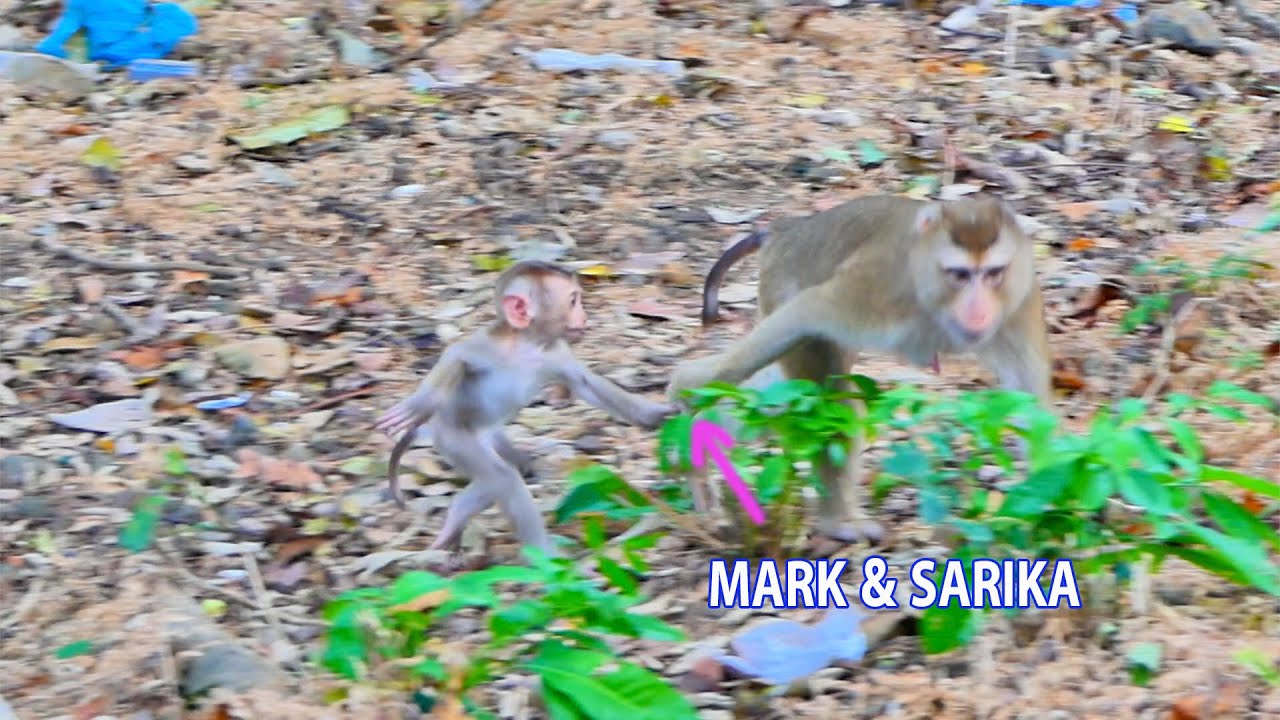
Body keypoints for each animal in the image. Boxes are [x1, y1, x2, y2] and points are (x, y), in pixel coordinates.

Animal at [376, 260, 677, 555]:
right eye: (573, 301)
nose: (584, 316)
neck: (528, 344)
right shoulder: (489, 347)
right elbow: (456, 355)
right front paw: (420, 403)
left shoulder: (555, 351)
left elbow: (585, 383)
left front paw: (655, 415)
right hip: (456, 441)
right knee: (503, 478)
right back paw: (541, 552)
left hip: (491, 438)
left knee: (502, 476)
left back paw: (459, 512)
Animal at [670, 193, 1053, 545]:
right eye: (960, 274)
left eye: (994, 274)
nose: (978, 310)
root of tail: (785, 230)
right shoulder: (879, 290)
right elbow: (809, 310)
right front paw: (690, 389)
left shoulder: (1019, 299)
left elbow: (1030, 399)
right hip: (783, 281)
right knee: (823, 394)